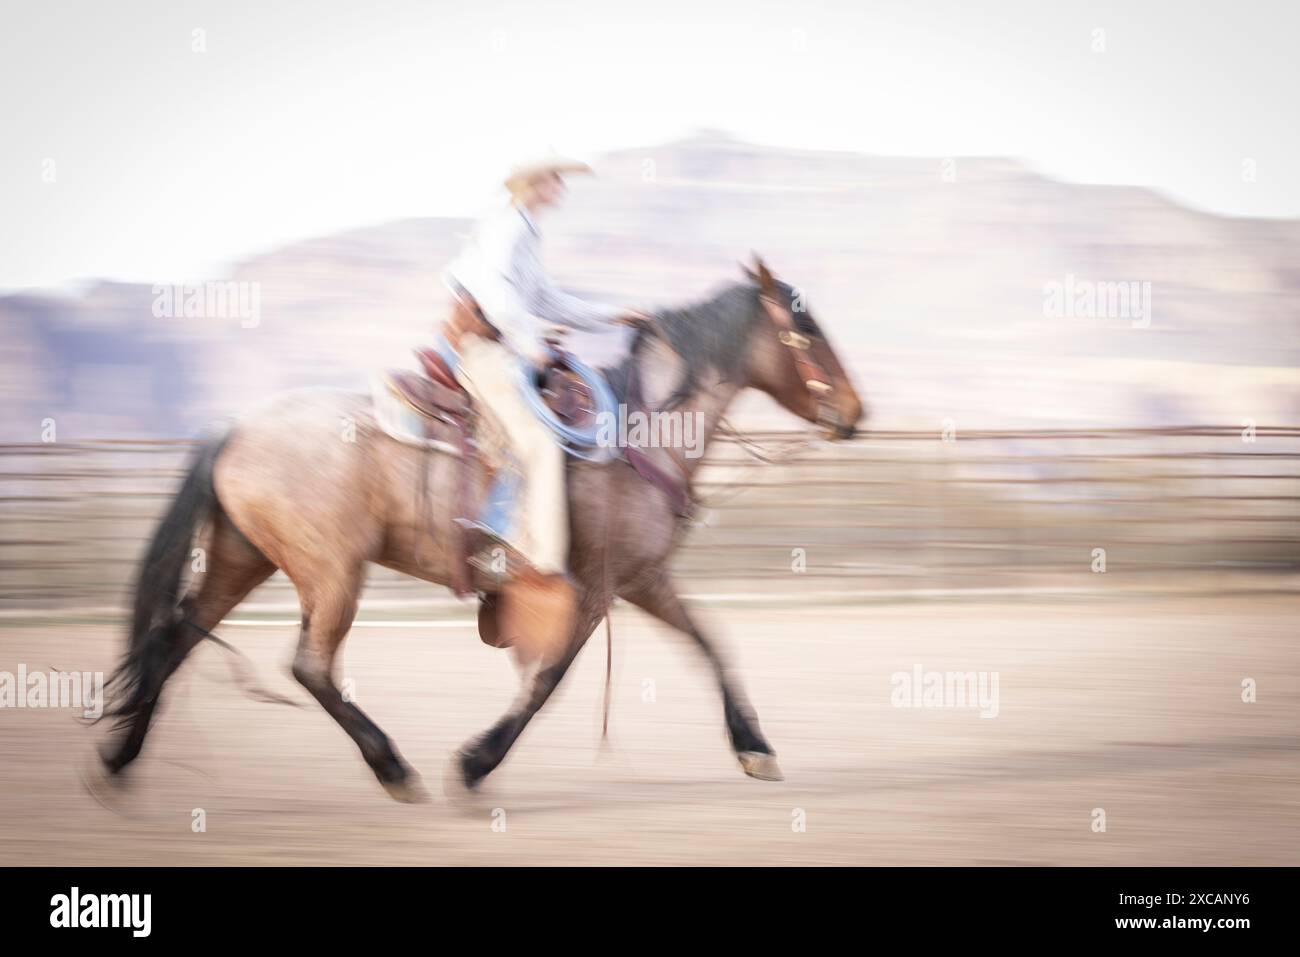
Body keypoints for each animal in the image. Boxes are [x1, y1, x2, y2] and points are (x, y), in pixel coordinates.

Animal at [99, 257, 865, 801]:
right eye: (806, 328)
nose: (856, 411)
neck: (641, 430)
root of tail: (234, 428)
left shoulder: (642, 578)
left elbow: (711, 645)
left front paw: (754, 747)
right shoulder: (595, 586)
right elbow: (549, 677)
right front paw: (474, 763)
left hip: (242, 558)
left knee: (171, 641)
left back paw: (118, 762)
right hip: (331, 570)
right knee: (309, 666)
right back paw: (393, 768)